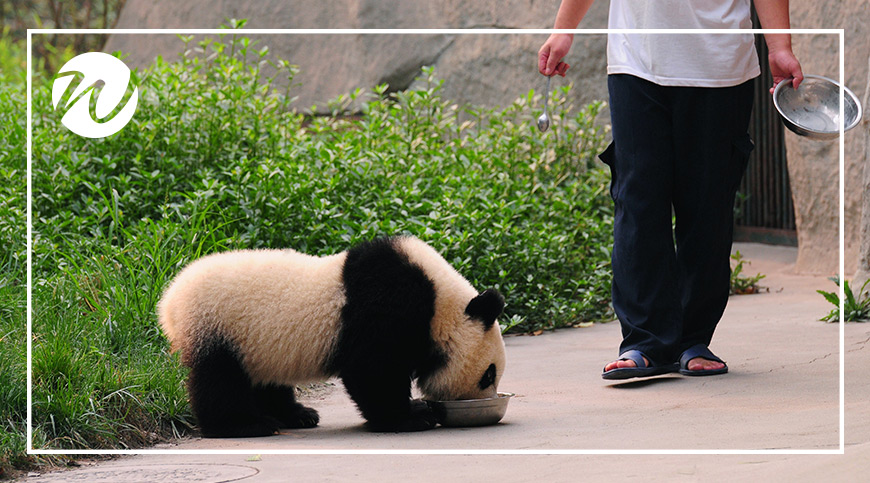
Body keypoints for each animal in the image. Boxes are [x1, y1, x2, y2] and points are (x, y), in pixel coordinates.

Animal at [157, 235, 506, 437]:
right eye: (488, 375)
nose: (486, 400)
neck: (439, 304)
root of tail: (170, 300)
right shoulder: (387, 306)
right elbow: (372, 370)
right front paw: (412, 417)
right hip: (219, 327)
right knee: (220, 381)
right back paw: (244, 426)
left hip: (258, 343)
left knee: (264, 379)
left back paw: (297, 415)